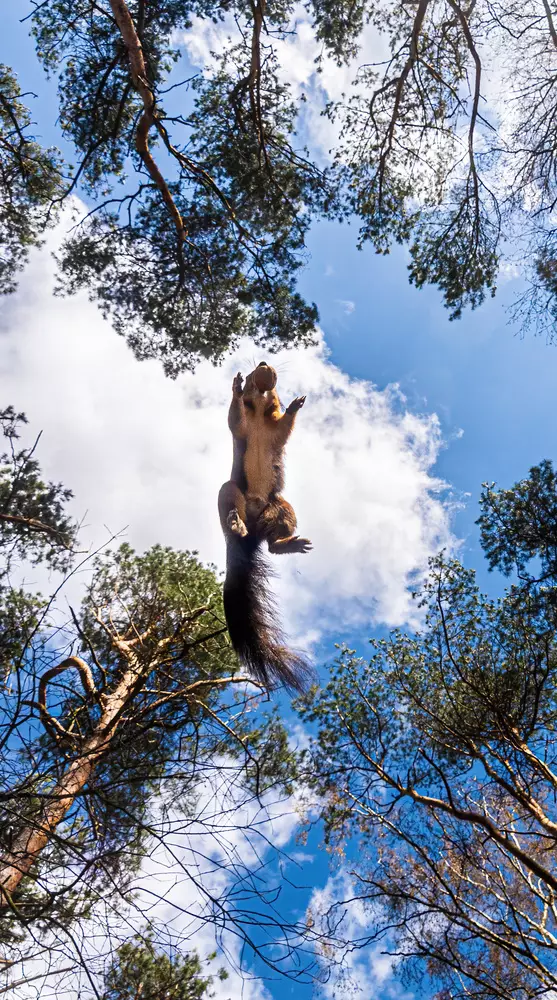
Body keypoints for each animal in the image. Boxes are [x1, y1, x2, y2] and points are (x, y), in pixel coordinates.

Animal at [218, 362, 312, 696]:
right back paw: (234, 523)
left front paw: (296, 404)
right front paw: (234, 387)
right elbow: (234, 418)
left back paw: (288, 544)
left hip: (282, 508)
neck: (258, 413)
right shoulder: (241, 427)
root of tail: (253, 534)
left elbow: (284, 427)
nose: (262, 366)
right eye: (251, 373)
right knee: (230, 509)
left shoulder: (275, 433)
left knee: (272, 544)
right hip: (230, 490)